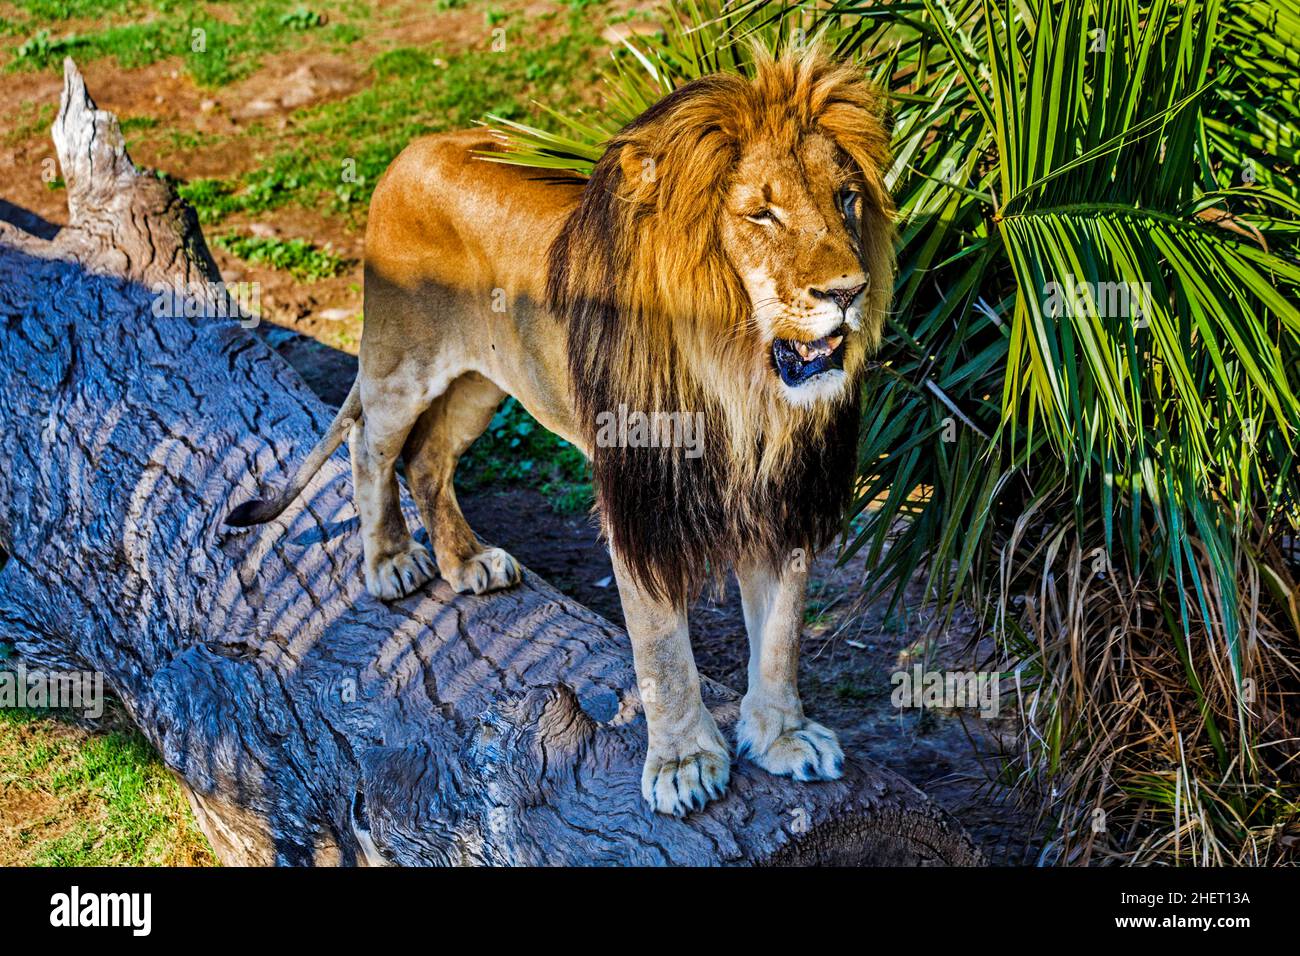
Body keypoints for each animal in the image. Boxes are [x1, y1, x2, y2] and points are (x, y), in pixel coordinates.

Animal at [226, 46, 895, 816]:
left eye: (846, 199)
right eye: (761, 212)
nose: (848, 292)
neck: (743, 383)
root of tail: (412, 149)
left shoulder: (787, 495)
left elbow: (781, 635)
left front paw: (783, 737)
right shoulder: (638, 501)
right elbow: (662, 650)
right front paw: (682, 764)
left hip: (484, 382)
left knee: (428, 460)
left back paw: (467, 562)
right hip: (400, 363)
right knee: (372, 445)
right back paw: (391, 560)